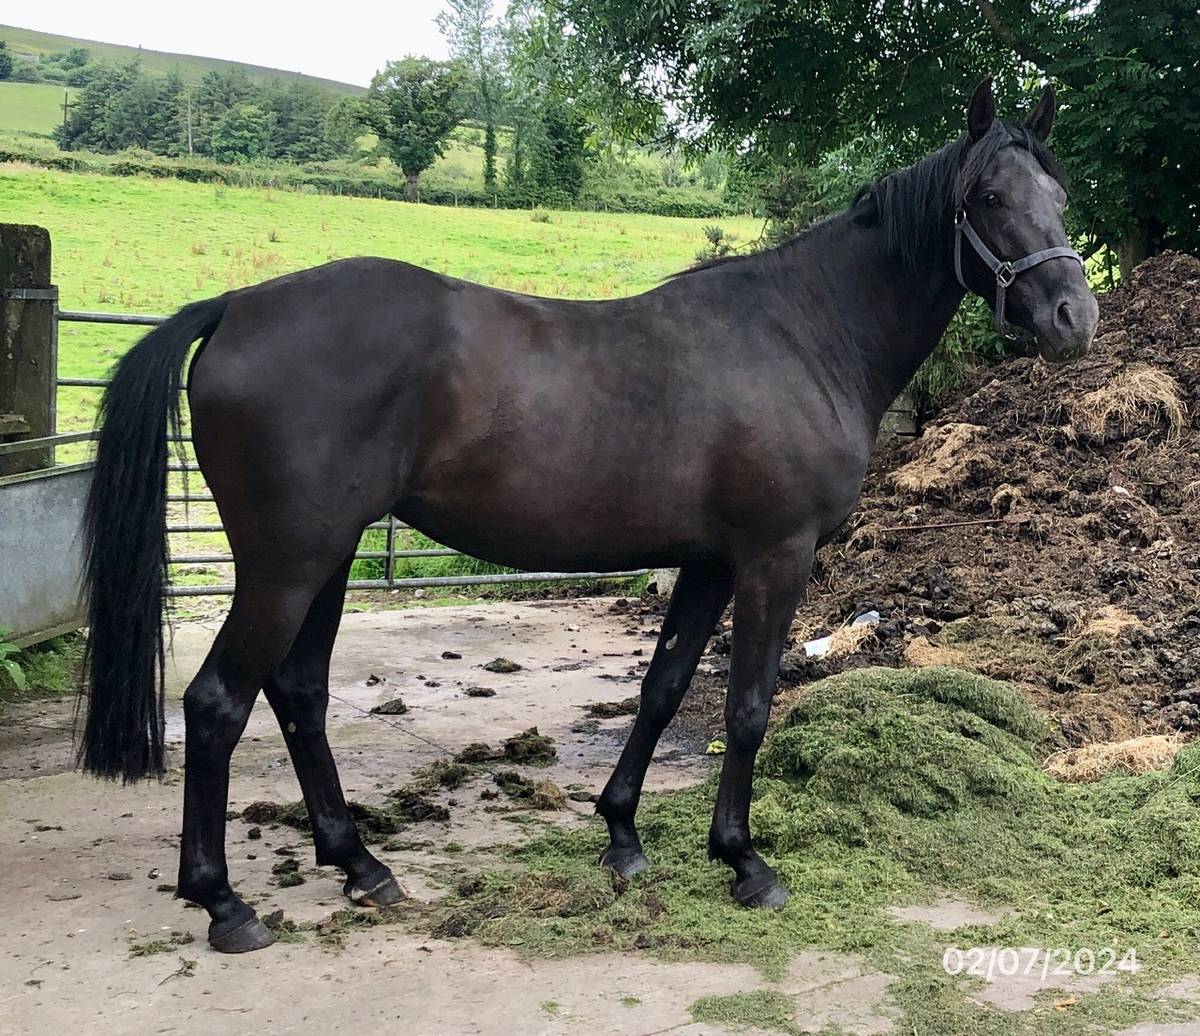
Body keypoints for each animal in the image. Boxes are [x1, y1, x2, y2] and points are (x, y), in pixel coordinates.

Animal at [78, 80, 1098, 953]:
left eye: (1059, 190)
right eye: (989, 197)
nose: (1072, 316)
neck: (805, 333)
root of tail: (237, 307)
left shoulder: (710, 560)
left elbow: (665, 686)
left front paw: (623, 835)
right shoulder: (776, 555)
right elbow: (750, 704)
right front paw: (746, 863)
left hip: (325, 561)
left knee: (298, 695)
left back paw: (360, 864)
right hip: (287, 565)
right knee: (217, 704)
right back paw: (223, 903)